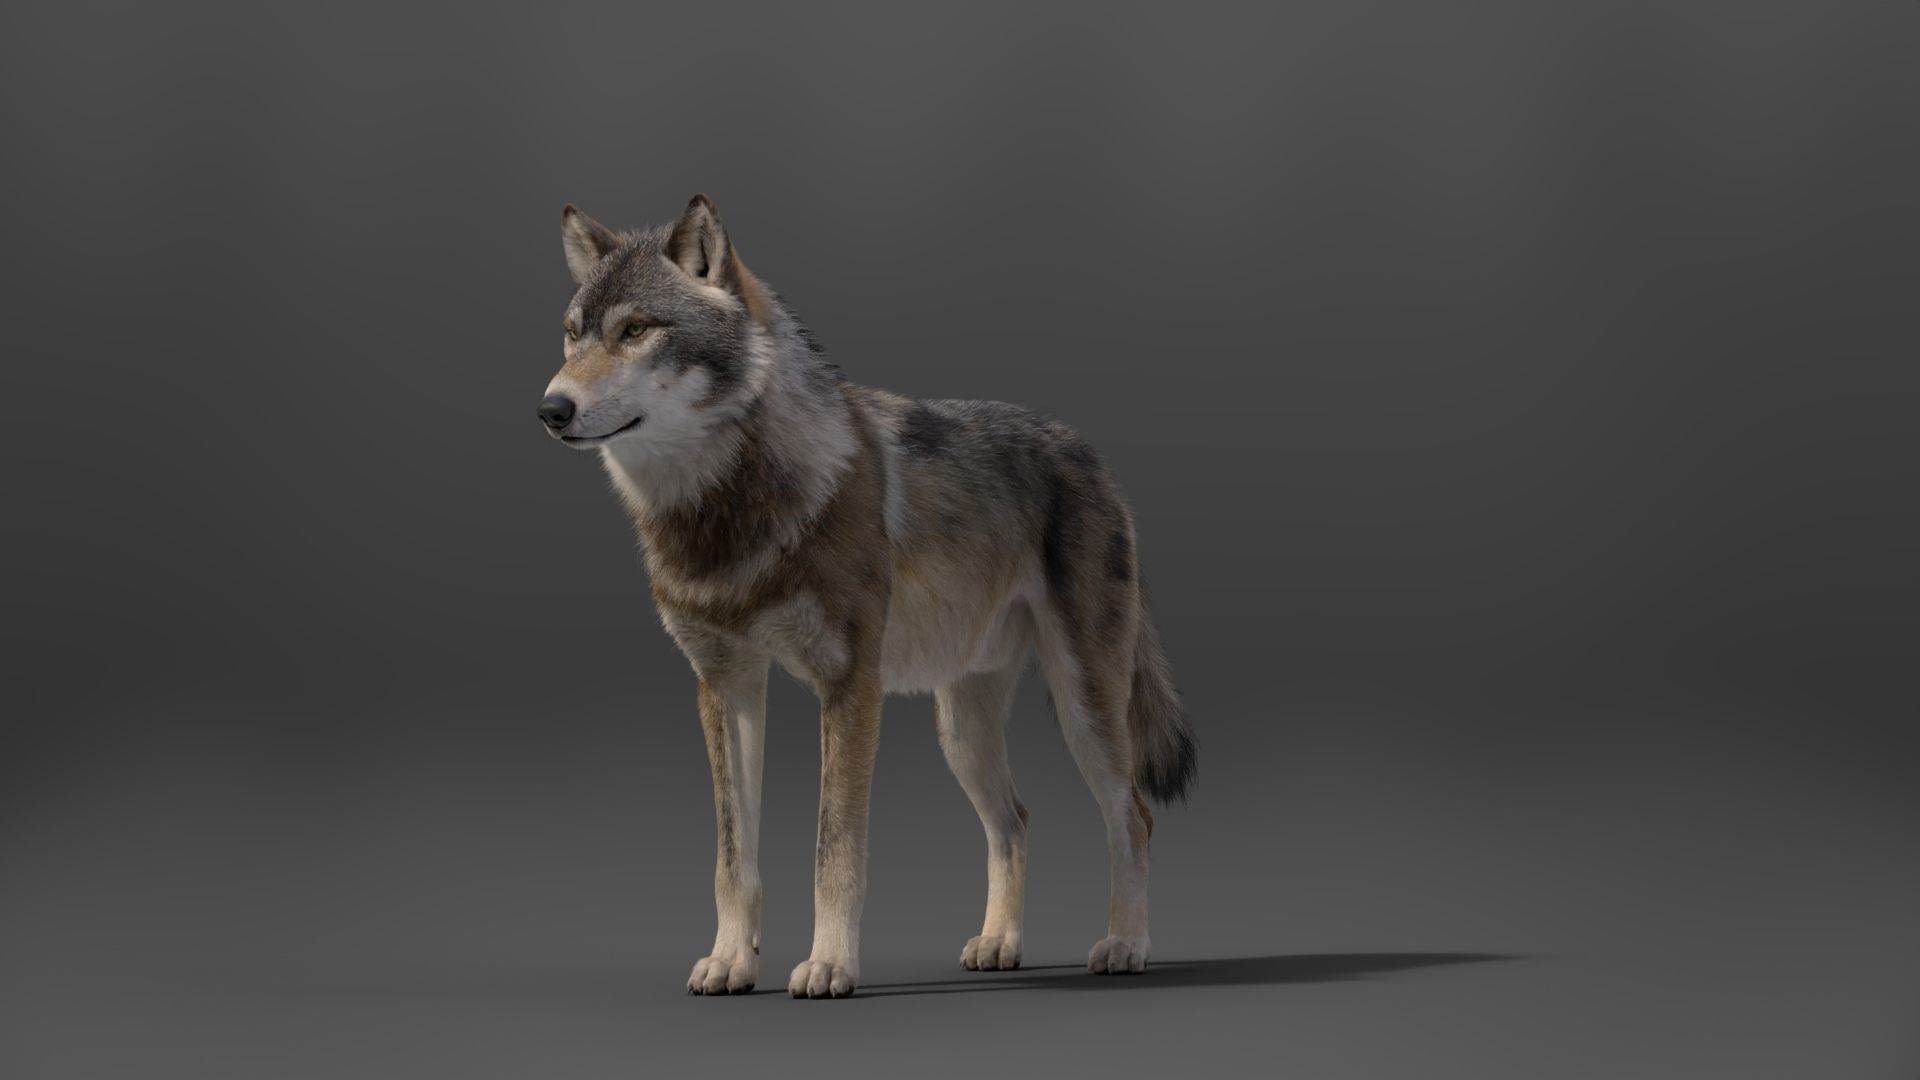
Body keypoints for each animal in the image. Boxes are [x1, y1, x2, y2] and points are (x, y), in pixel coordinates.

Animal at [538, 194, 1195, 998]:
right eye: (572, 334)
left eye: (635, 331)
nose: (551, 408)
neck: (724, 516)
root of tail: (1090, 453)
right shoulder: (725, 685)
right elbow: (734, 858)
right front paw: (731, 961)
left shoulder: (850, 686)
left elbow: (836, 848)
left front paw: (828, 964)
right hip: (962, 730)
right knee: (1014, 819)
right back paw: (1000, 943)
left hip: (1084, 710)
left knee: (1132, 815)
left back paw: (1125, 944)